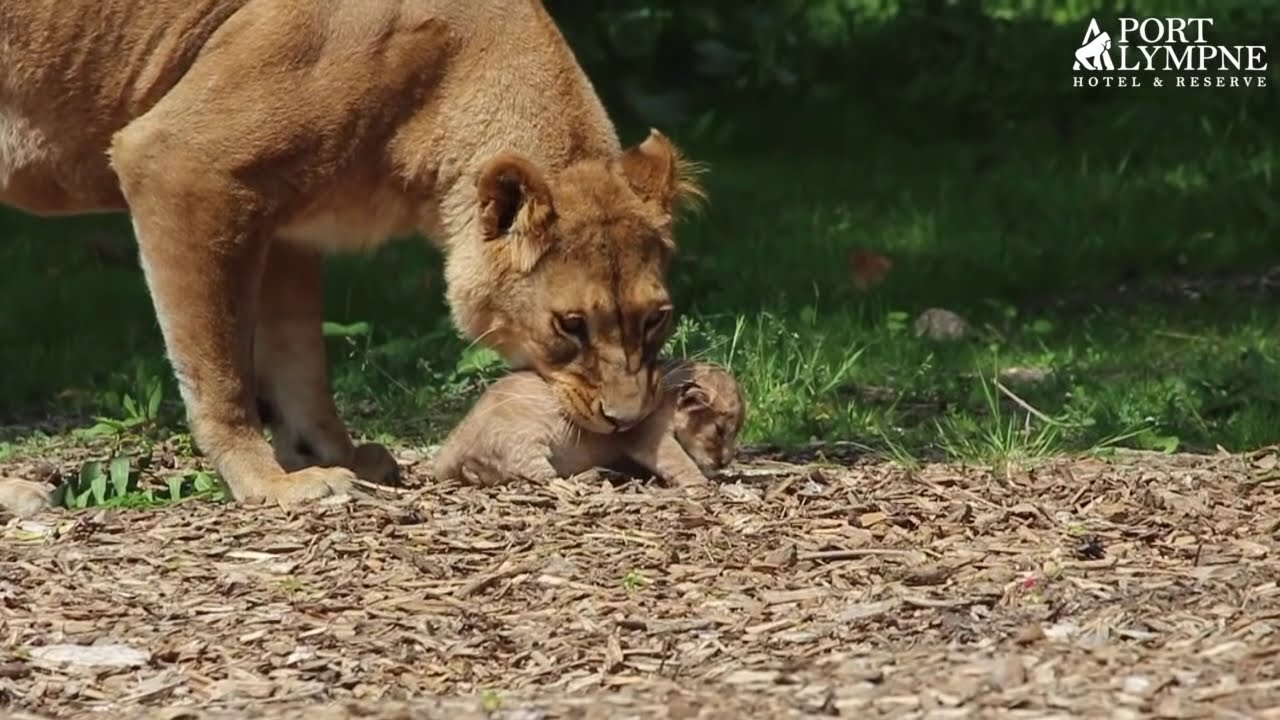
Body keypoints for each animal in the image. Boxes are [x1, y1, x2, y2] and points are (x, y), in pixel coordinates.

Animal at [0, 0, 705, 508]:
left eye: (657, 317)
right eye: (571, 325)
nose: (626, 419)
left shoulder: (289, 227)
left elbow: (301, 366)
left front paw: (332, 457)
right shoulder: (179, 164)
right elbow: (218, 367)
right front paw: (269, 485)